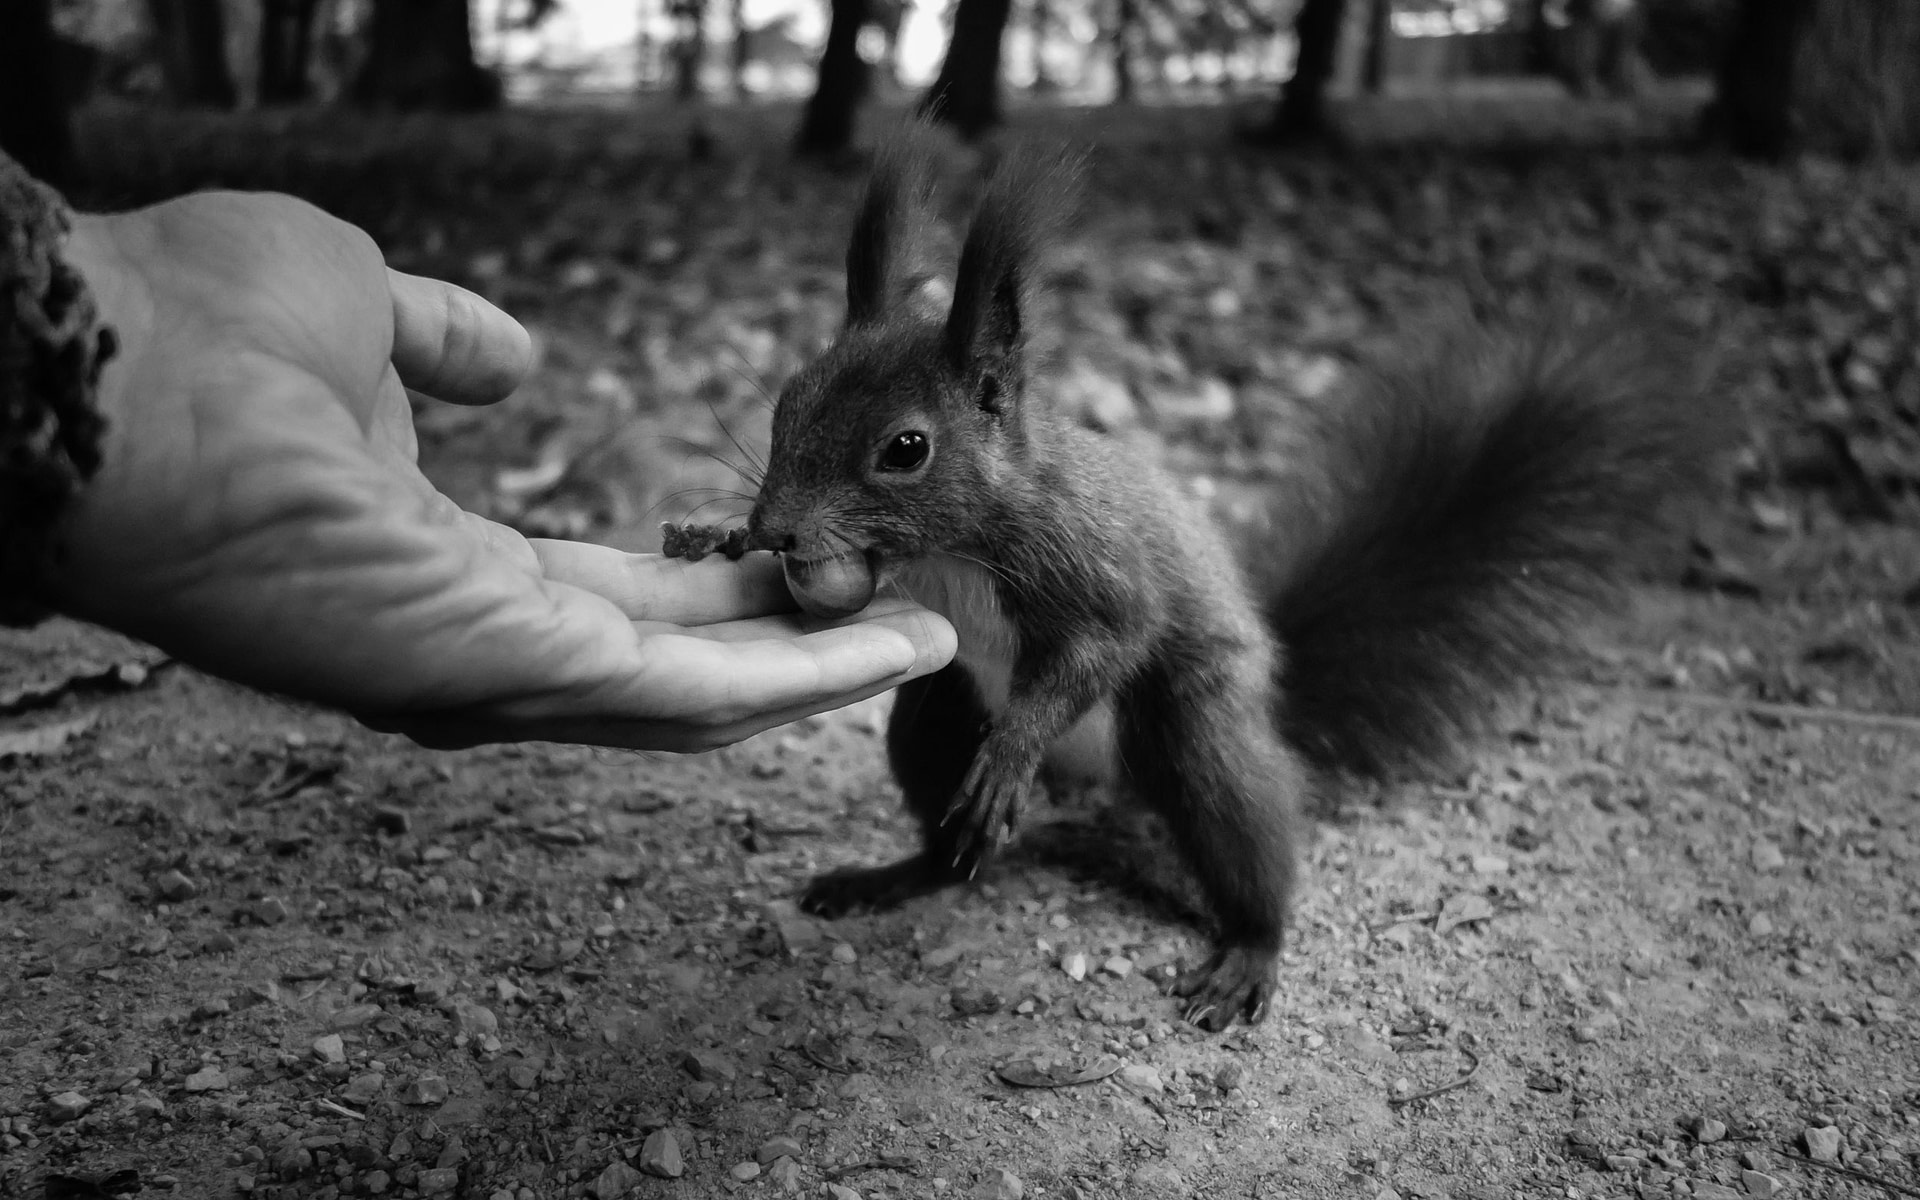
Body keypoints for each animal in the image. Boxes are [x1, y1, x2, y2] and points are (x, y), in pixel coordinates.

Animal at [736, 141, 1713, 1030]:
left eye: (907, 449)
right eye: (786, 402)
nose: (774, 528)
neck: (954, 546)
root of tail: (1095, 774)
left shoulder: (1089, 561)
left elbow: (1110, 637)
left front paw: (1012, 750)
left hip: (1193, 724)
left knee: (1240, 824)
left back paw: (1249, 949)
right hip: (938, 712)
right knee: (949, 837)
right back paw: (891, 876)